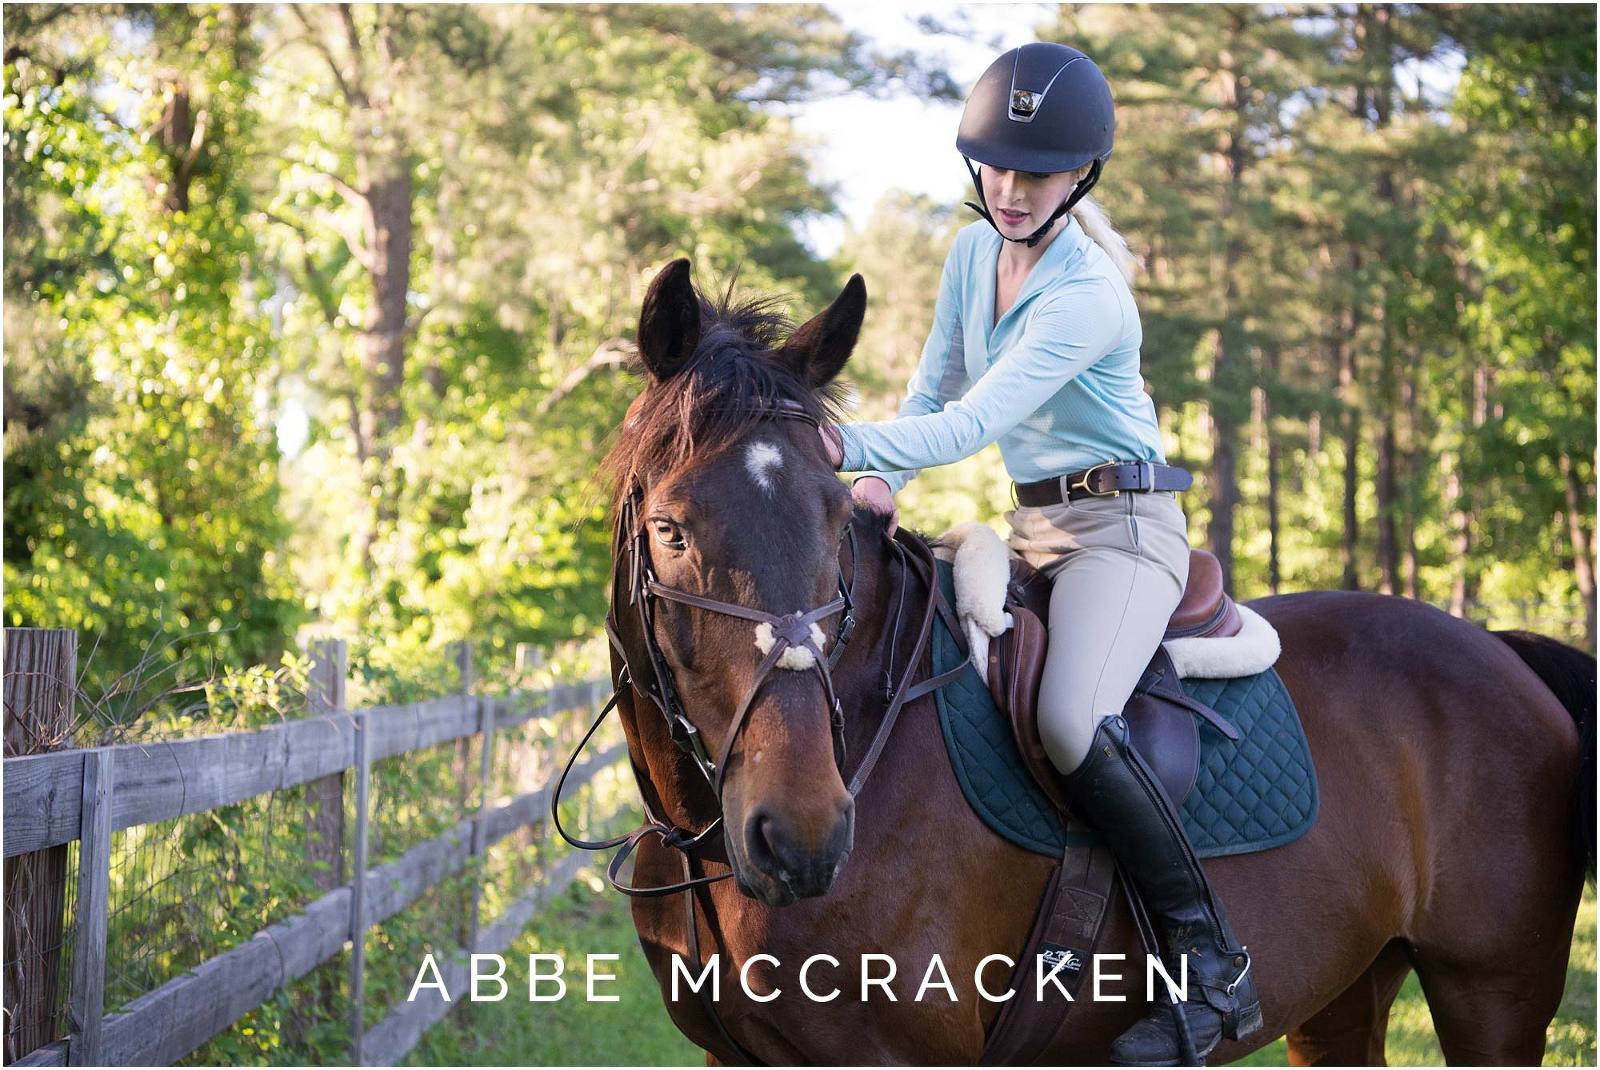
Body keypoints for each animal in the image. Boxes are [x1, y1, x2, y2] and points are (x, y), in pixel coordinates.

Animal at [578, 258, 1595, 1065]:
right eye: (670, 531)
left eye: (837, 528)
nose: (804, 838)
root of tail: (1498, 649)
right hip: (1348, 989)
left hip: (1491, 993)